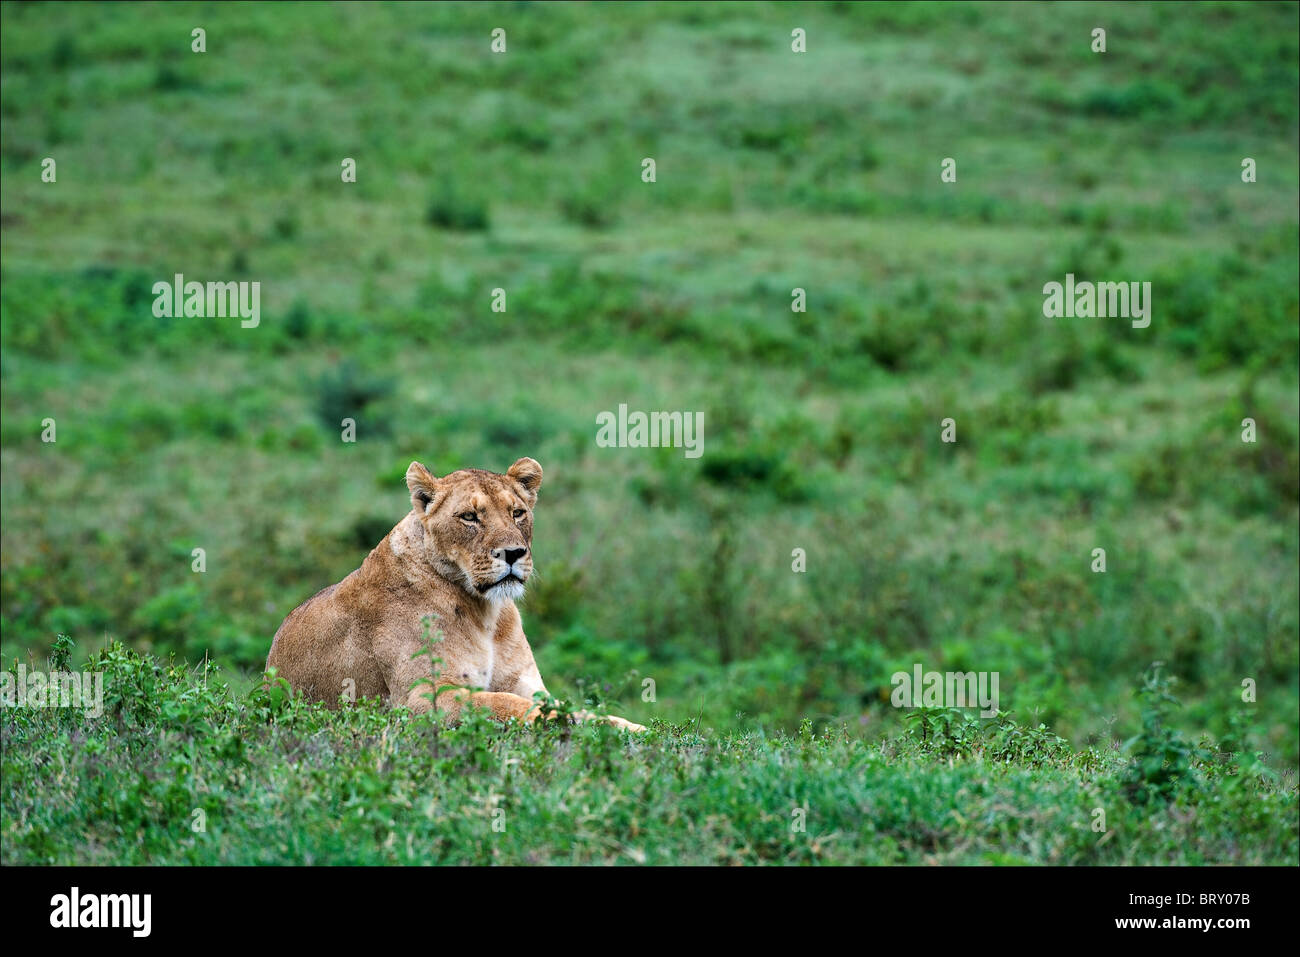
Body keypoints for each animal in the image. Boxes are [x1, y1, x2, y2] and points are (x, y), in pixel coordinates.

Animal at [266, 457, 646, 731]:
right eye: (469, 517)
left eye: (517, 513)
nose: (513, 553)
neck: (487, 613)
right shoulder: (420, 698)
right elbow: (504, 703)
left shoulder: (528, 684)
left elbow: (583, 711)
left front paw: (634, 729)